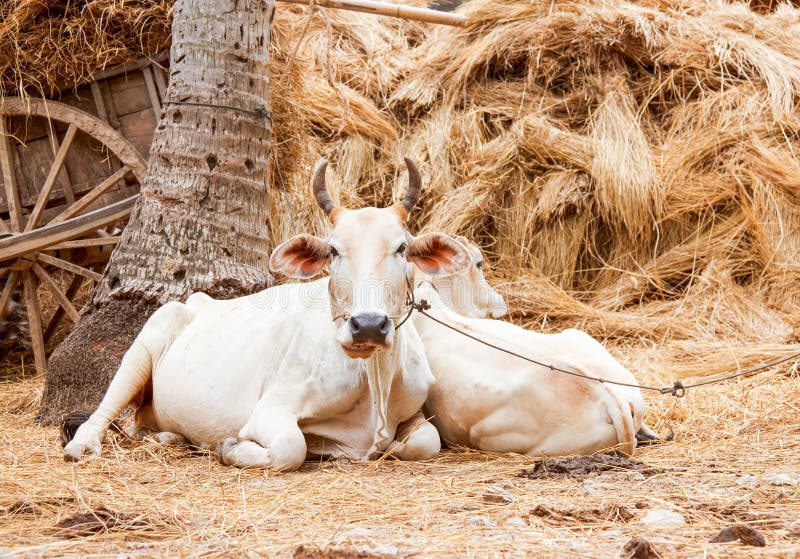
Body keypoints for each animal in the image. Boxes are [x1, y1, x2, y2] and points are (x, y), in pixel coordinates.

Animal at [64, 158, 472, 470]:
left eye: (401, 247)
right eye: (334, 250)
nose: (368, 325)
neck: (373, 379)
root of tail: (198, 301)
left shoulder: (414, 414)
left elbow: (427, 440)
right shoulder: (271, 410)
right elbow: (292, 447)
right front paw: (230, 447)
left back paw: (171, 438)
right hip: (147, 341)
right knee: (105, 409)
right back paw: (83, 444)